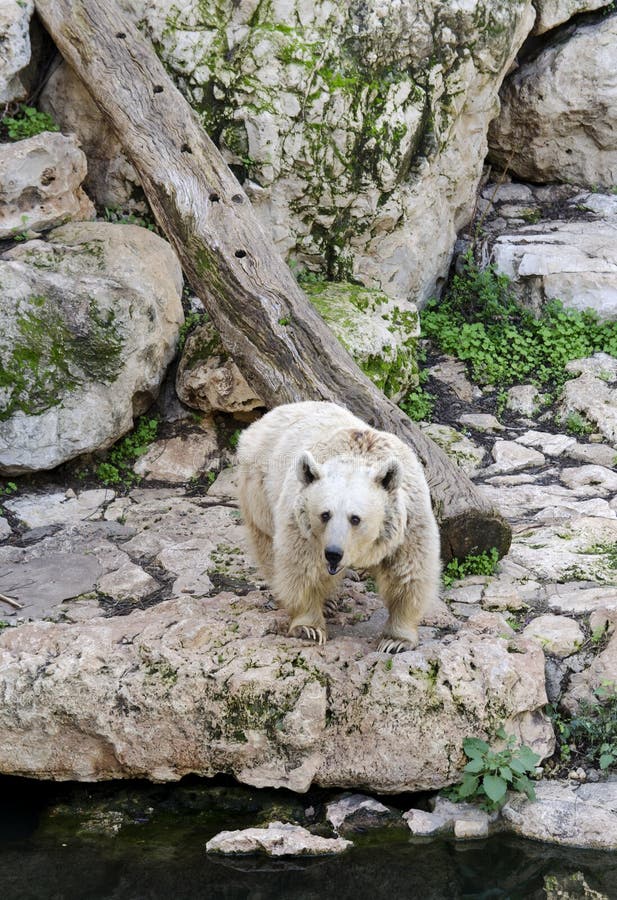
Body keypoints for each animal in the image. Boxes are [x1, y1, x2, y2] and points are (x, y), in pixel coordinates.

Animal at [237, 401, 441, 653]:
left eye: (355, 518)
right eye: (325, 514)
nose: (333, 553)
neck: (358, 454)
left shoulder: (408, 524)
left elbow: (407, 574)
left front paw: (395, 641)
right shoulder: (302, 527)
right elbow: (302, 570)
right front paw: (309, 629)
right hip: (260, 487)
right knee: (267, 545)